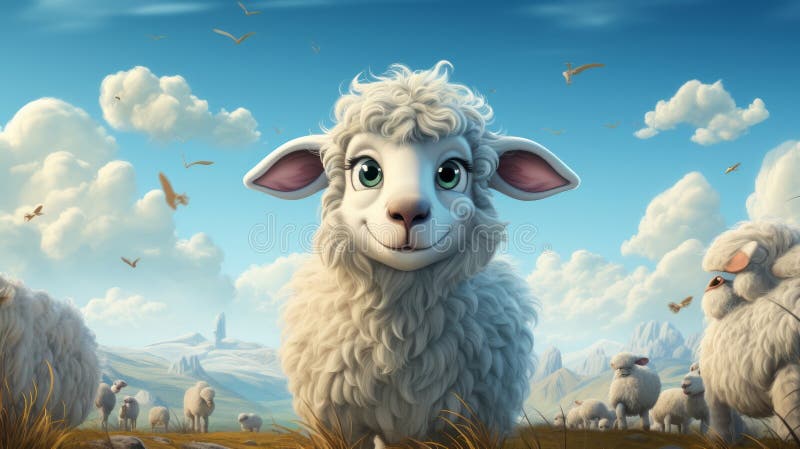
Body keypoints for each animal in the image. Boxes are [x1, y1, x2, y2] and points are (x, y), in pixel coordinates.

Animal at [243, 61, 580, 444]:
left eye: (450, 173)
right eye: (368, 171)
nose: (408, 211)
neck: (400, 333)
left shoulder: (473, 419)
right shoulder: (339, 421)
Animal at [699, 272, 800, 442]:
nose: (717, 278)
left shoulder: (789, 370)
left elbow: (791, 412)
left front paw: (792, 438)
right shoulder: (714, 392)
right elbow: (720, 421)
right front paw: (718, 441)